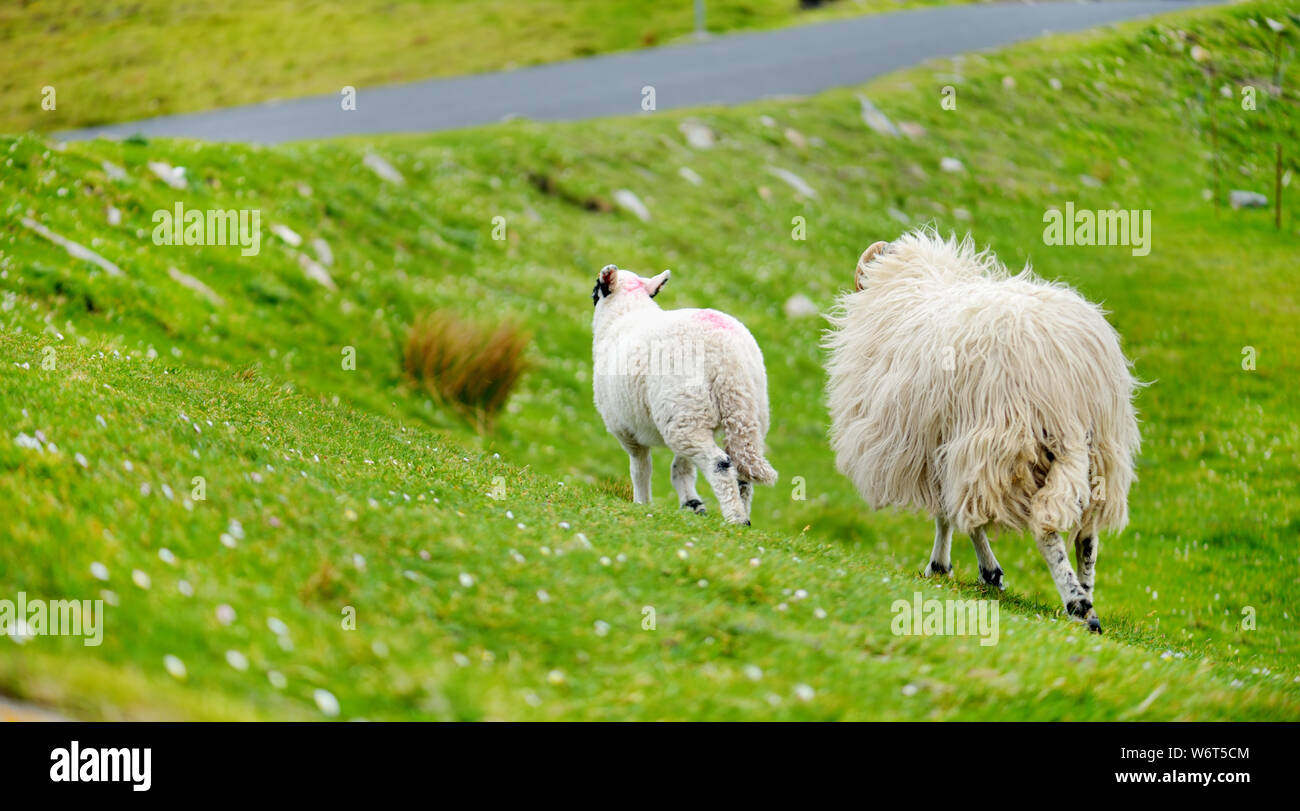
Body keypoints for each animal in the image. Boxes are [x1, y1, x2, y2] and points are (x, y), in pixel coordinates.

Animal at [591, 264, 777, 525]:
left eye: (595, 291)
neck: (623, 314)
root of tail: (728, 356)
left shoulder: (625, 428)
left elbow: (640, 468)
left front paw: (642, 503)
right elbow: (682, 468)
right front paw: (692, 505)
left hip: (685, 409)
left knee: (720, 463)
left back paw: (736, 518)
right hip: (740, 412)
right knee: (742, 471)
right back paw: (743, 516)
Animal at [824, 230, 1140, 632]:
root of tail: (1066, 368)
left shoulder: (948, 443)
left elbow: (951, 513)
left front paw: (953, 567)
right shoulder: (946, 444)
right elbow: (953, 511)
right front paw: (972, 569)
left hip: (1008, 442)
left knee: (1047, 528)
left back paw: (1078, 603)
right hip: (1100, 450)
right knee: (1088, 535)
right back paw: (1087, 596)